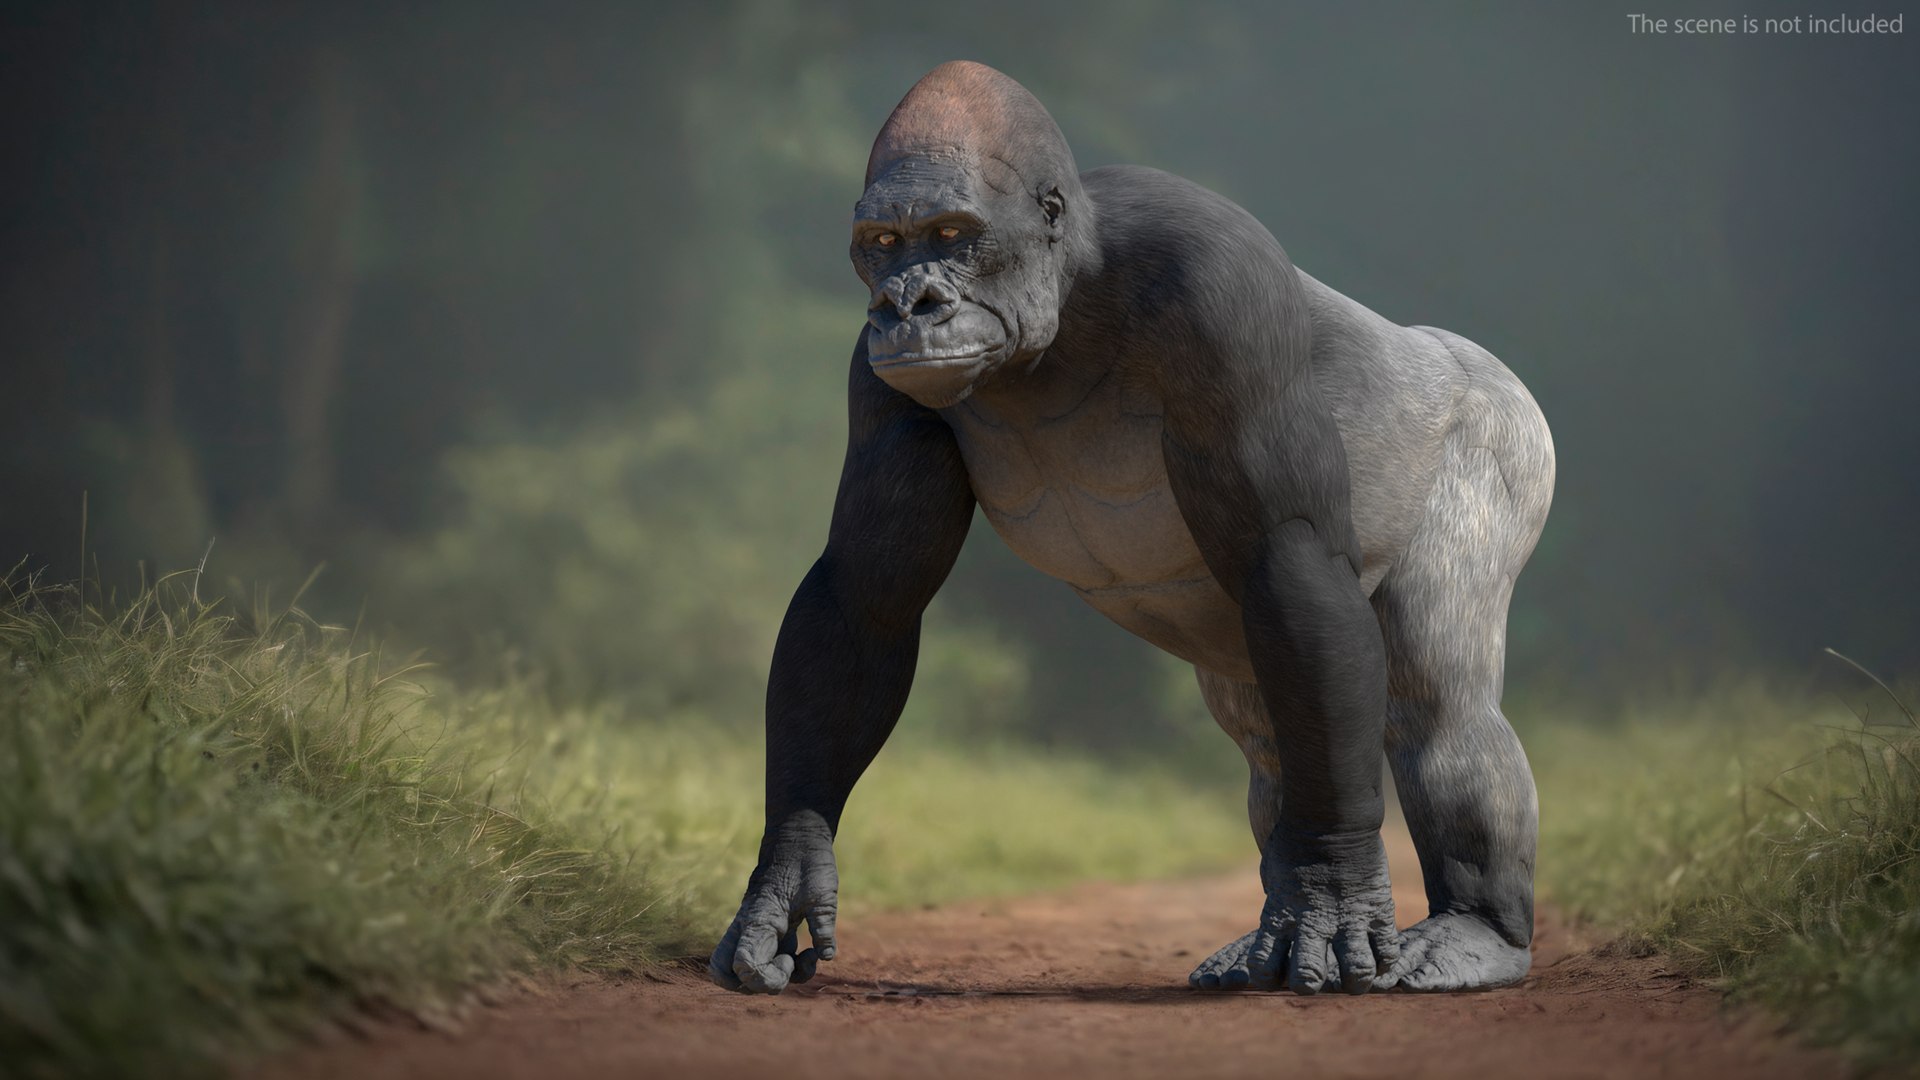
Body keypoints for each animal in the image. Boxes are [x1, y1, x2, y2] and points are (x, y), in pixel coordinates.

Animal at [709, 60, 1554, 996]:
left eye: (952, 232)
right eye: (884, 241)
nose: (908, 301)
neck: (1066, 291)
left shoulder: (1224, 289)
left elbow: (1290, 553)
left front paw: (1338, 888)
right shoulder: (876, 378)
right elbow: (863, 602)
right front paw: (787, 872)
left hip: (1507, 434)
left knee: (1436, 707)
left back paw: (1473, 932)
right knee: (1271, 737)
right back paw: (1266, 938)